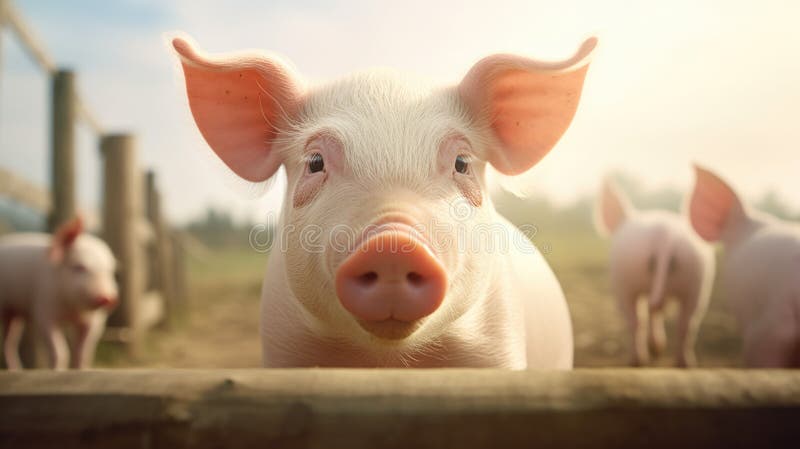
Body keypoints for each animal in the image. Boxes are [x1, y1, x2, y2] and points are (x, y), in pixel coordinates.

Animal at [0, 217, 118, 369]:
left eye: (110, 271)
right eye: (79, 267)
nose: (107, 298)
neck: (71, 311)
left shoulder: (95, 322)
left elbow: (83, 353)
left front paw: (82, 369)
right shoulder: (43, 308)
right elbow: (60, 351)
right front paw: (56, 370)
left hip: (12, 313)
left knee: (9, 342)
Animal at [173, 34, 597, 368]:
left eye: (462, 163)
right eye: (315, 162)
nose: (393, 243)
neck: (387, 362)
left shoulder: (498, 347)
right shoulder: (284, 348)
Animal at [595, 179, 715, 367]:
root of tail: (664, 233)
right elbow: (656, 310)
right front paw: (657, 349)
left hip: (623, 281)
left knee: (636, 321)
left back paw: (637, 361)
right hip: (699, 278)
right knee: (686, 323)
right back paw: (685, 364)